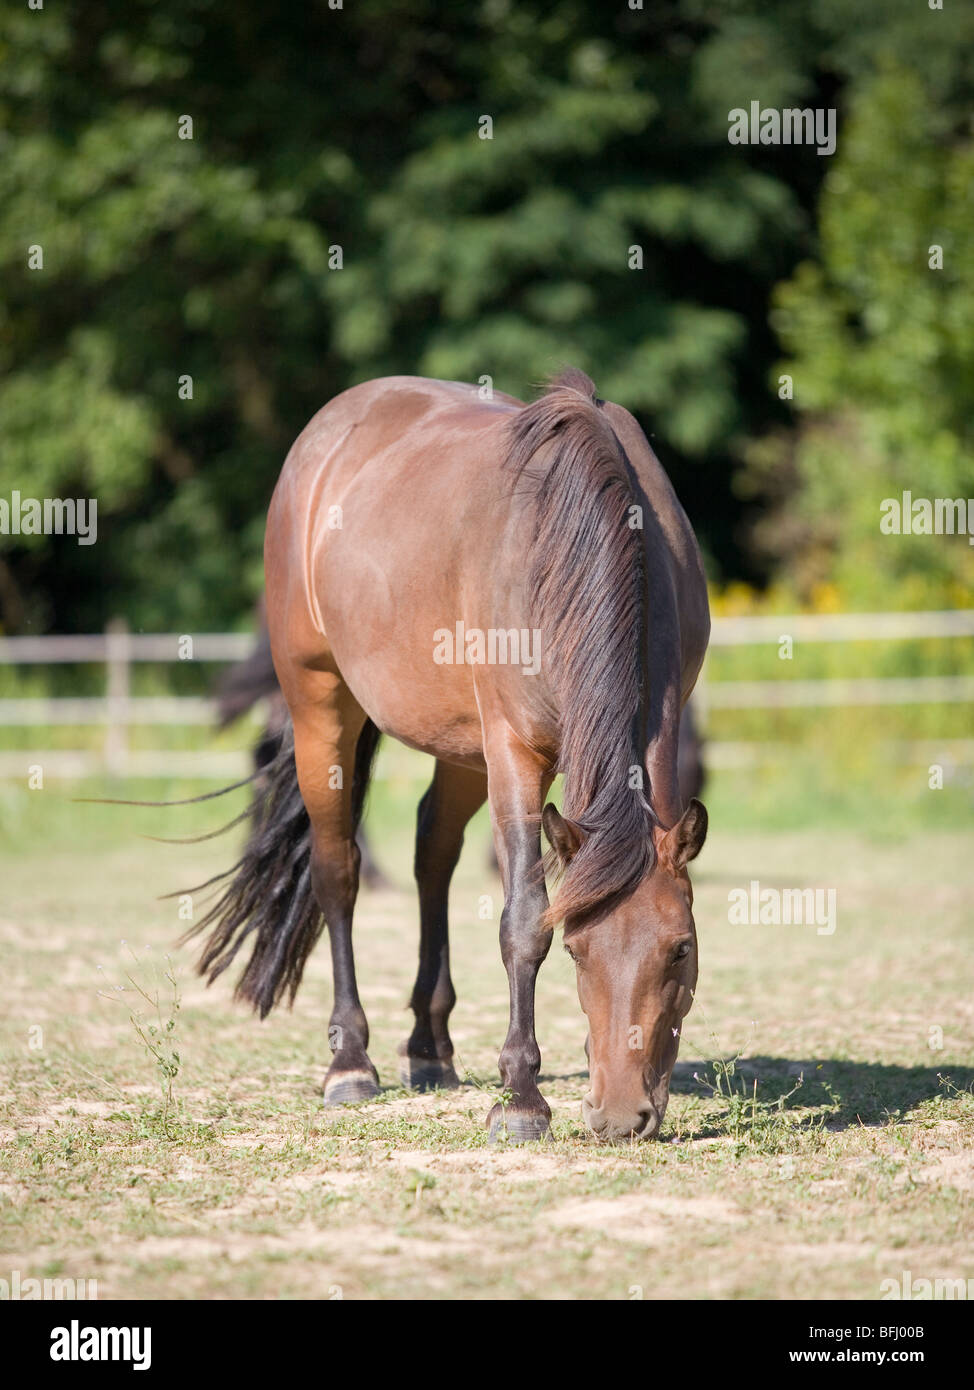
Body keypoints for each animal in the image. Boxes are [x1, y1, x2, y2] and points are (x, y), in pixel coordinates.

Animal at [190, 368, 710, 1142]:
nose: (620, 1116)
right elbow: (523, 920)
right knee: (336, 869)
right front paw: (521, 1099)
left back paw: (429, 1048)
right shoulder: (515, 749)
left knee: (431, 852)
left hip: (460, 748)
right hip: (320, 704)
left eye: (681, 948)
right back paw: (351, 1062)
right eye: (577, 950)